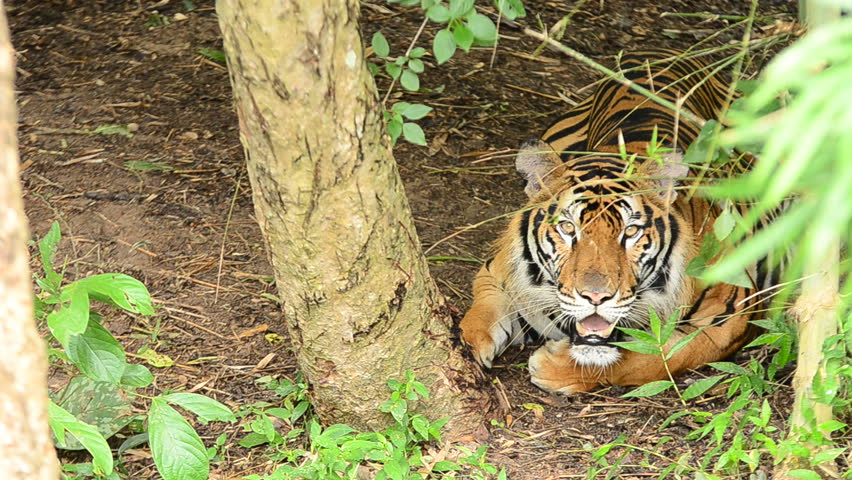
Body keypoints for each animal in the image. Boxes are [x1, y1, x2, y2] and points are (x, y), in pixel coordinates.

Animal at [460, 49, 776, 394]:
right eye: (567, 228)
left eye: (631, 231)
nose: (596, 297)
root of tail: (656, 52)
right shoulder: (499, 272)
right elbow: (483, 308)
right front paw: (469, 345)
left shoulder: (729, 315)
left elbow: (659, 356)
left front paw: (555, 367)